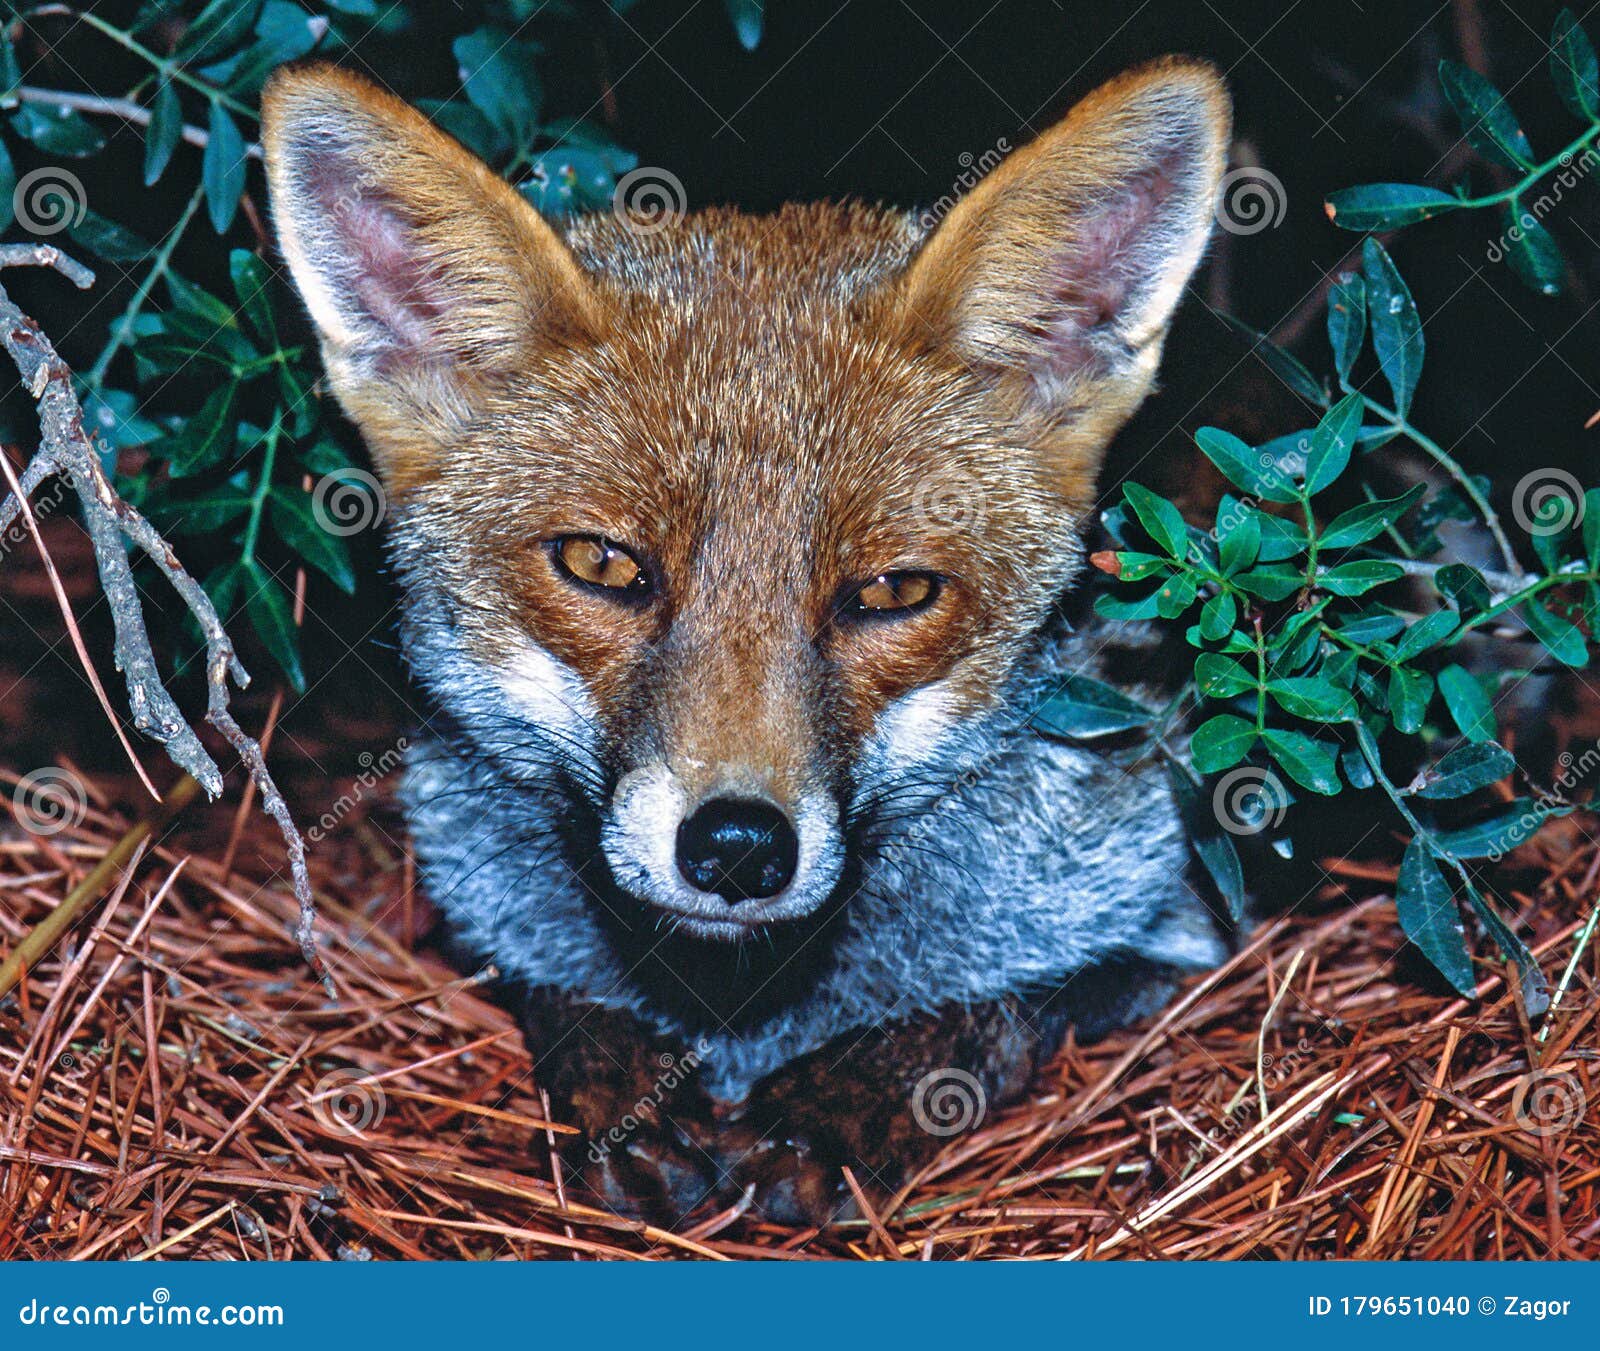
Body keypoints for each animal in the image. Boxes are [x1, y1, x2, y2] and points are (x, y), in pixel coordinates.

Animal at [261, 56, 1233, 1225]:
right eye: (602, 565)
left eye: (892, 591)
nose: (736, 848)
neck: (740, 1007)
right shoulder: (493, 924)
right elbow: (560, 999)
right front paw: (619, 1085)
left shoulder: (1177, 924)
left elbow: (1007, 1004)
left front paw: (851, 1097)